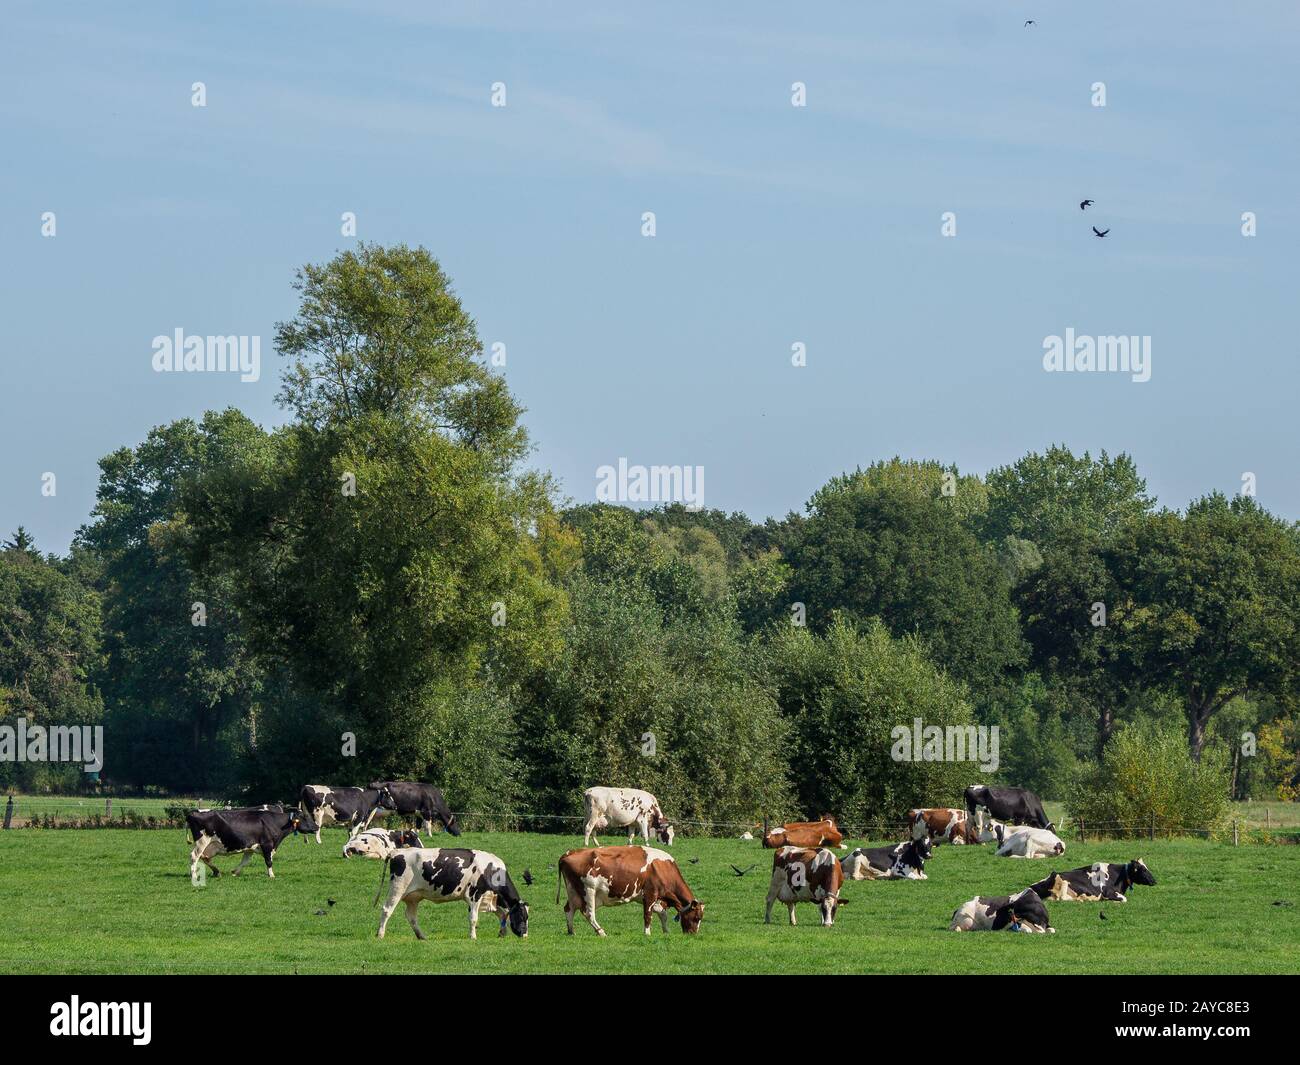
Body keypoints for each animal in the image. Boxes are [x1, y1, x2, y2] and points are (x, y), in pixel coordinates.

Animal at [186, 807, 316, 884]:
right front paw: (271, 875)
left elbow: (245, 861)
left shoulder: (250, 847)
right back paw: (194, 876)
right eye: (305, 817)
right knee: (194, 856)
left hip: (210, 846)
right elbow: (269, 861)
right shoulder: (267, 844)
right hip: (202, 841)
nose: (317, 827)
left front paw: (234, 872)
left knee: (205, 858)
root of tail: (193, 812)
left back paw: (217, 872)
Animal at [376, 848, 528, 941]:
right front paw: (473, 937)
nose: (525, 935)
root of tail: (397, 851)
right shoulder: (474, 895)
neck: (491, 870)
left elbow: (503, 914)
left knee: (411, 916)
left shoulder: (489, 898)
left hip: (413, 897)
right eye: (522, 916)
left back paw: (422, 936)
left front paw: (502, 934)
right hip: (397, 888)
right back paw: (380, 934)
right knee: (387, 910)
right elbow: (473, 918)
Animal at [557, 845, 703, 936]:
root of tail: (570, 853)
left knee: (568, 909)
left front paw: (666, 932)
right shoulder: (650, 894)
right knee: (589, 913)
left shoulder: (658, 898)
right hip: (588, 890)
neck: (663, 867)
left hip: (573, 891)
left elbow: (663, 915)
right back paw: (601, 932)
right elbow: (648, 915)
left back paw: (571, 932)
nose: (693, 934)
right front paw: (647, 933)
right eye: (697, 917)